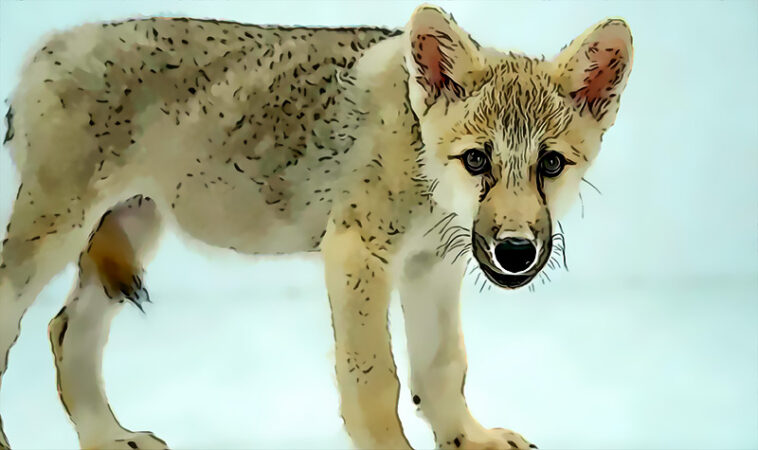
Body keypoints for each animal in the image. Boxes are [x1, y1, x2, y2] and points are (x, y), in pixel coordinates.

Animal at [0, 4, 632, 449]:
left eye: (550, 164)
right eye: (477, 160)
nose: (516, 251)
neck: (424, 170)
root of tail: (47, 45)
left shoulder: (432, 268)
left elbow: (443, 367)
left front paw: (468, 439)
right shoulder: (358, 253)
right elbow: (375, 382)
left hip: (133, 227)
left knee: (67, 331)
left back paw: (109, 438)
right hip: (54, 231)